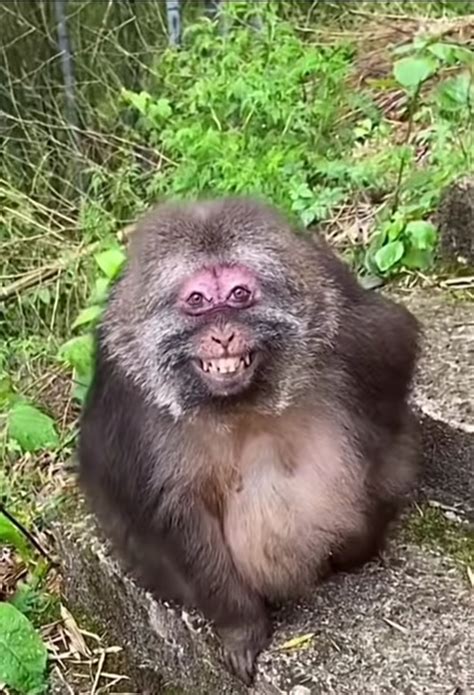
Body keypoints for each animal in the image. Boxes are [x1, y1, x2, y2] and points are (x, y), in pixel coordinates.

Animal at [77, 196, 420, 686]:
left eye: (240, 294)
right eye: (198, 301)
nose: (223, 335)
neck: (237, 404)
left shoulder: (341, 310)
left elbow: (392, 352)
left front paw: (365, 524)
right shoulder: (126, 394)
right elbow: (167, 512)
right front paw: (242, 626)